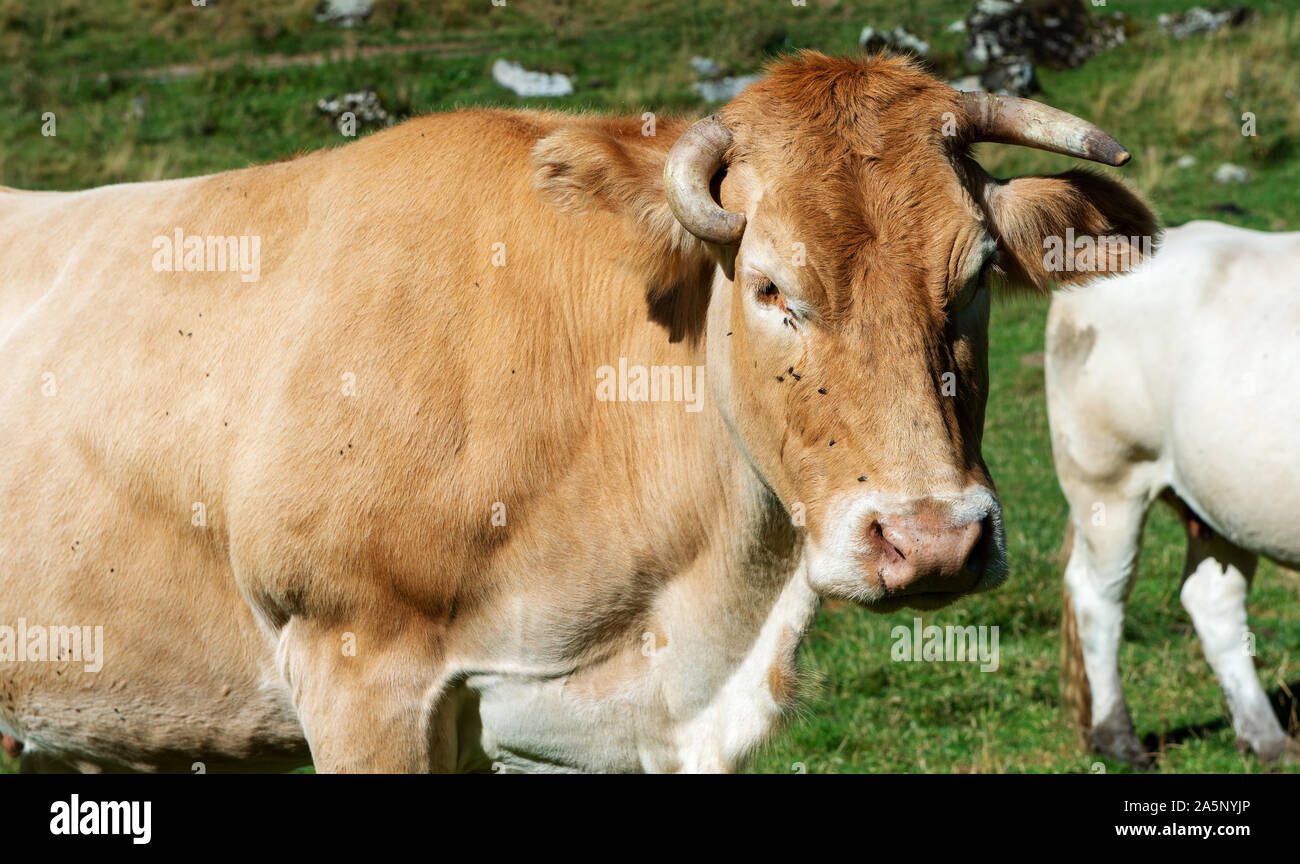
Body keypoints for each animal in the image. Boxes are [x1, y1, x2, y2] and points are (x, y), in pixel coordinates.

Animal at [1052, 220, 1300, 767]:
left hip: (1224, 498)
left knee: (1213, 602)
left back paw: (1267, 739)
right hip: (1108, 475)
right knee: (1098, 595)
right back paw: (1118, 738)